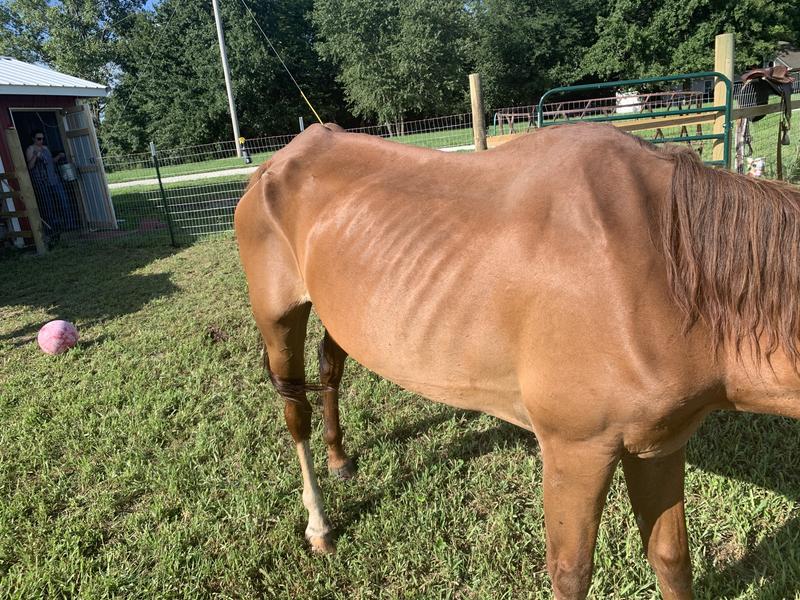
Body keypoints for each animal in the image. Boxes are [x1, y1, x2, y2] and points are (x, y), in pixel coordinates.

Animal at [234, 121, 800, 599]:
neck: (663, 266)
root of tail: (280, 158)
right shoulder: (577, 451)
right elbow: (572, 574)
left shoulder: (659, 445)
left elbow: (670, 561)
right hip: (277, 318)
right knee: (295, 413)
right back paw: (319, 524)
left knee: (331, 370)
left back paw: (339, 458)